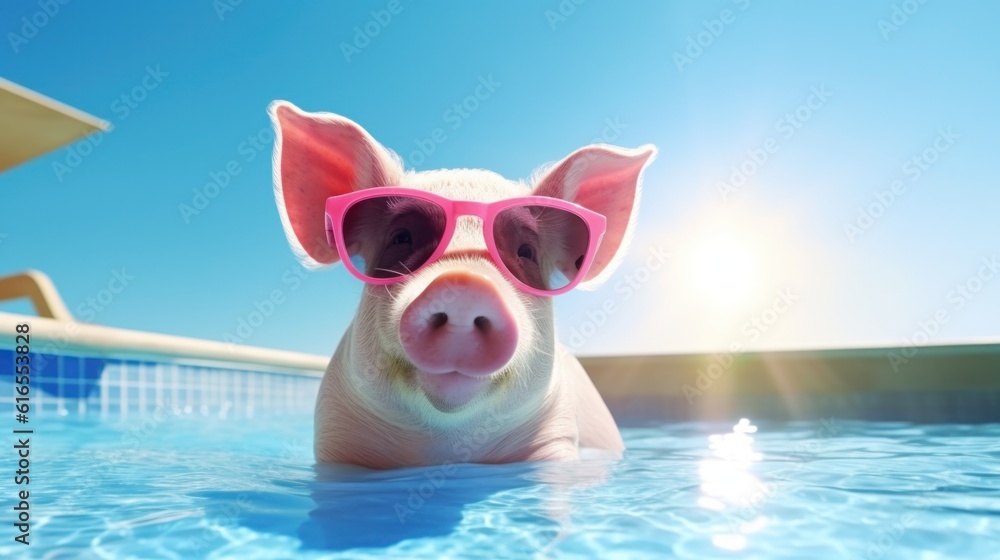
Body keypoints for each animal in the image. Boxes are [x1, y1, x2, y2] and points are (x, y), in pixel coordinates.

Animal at [269, 100, 656, 469]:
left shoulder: (556, 438)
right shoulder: (336, 441)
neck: (447, 447)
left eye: (526, 251)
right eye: (402, 237)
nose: (464, 284)